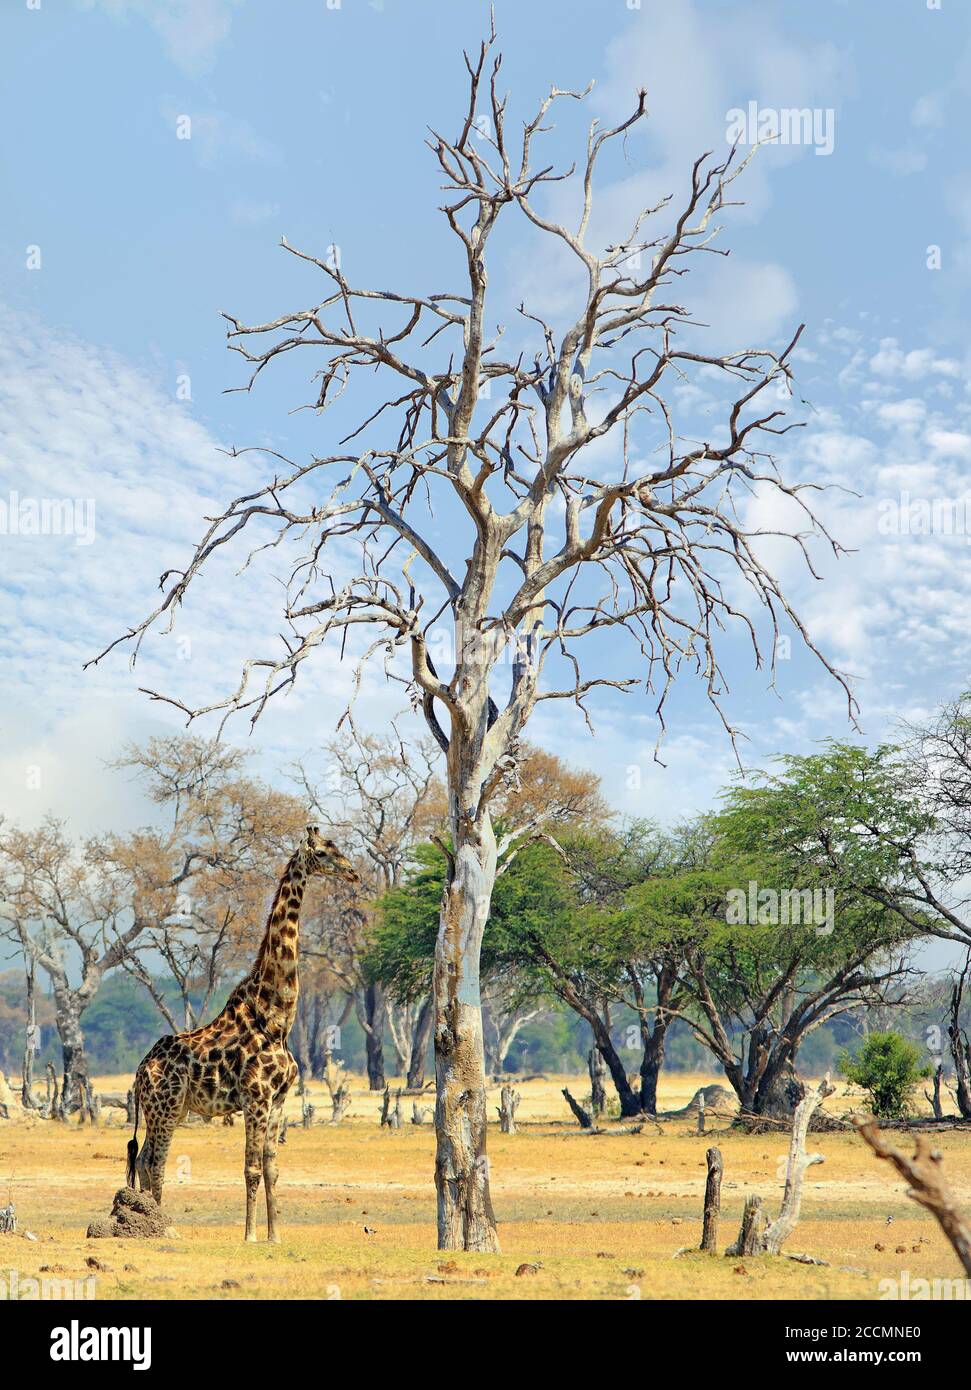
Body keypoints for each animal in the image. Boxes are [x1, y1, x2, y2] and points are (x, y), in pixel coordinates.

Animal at [125, 825, 359, 1242]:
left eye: (337, 847)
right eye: (322, 852)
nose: (353, 873)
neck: (276, 1019)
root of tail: (140, 1071)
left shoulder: (278, 1101)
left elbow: (271, 1169)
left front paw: (274, 1235)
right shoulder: (256, 1098)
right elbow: (250, 1168)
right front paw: (250, 1235)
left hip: (168, 1109)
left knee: (142, 1157)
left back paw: (150, 1220)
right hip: (165, 1107)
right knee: (154, 1159)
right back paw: (163, 1227)